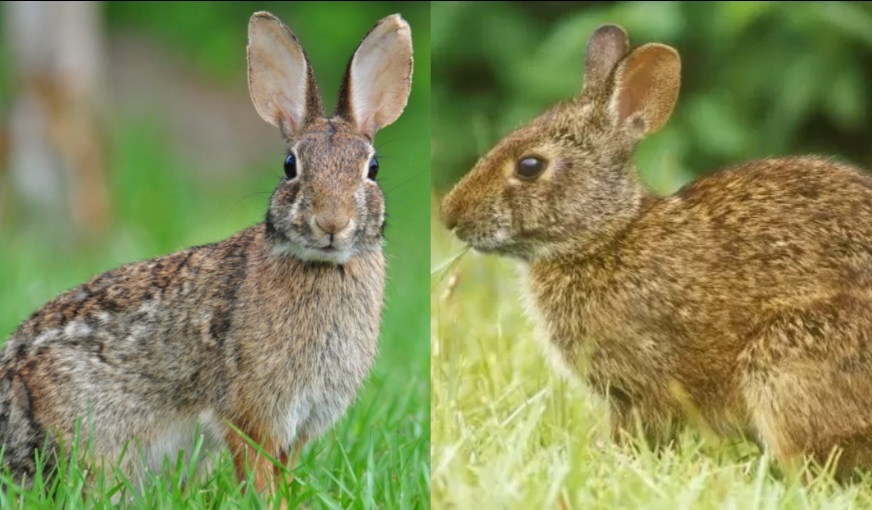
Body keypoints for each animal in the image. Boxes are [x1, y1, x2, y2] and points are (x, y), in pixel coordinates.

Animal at [0, 10, 413, 499]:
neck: (322, 266)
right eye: (290, 165)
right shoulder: (250, 414)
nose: (332, 223)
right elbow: (257, 472)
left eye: (373, 169)